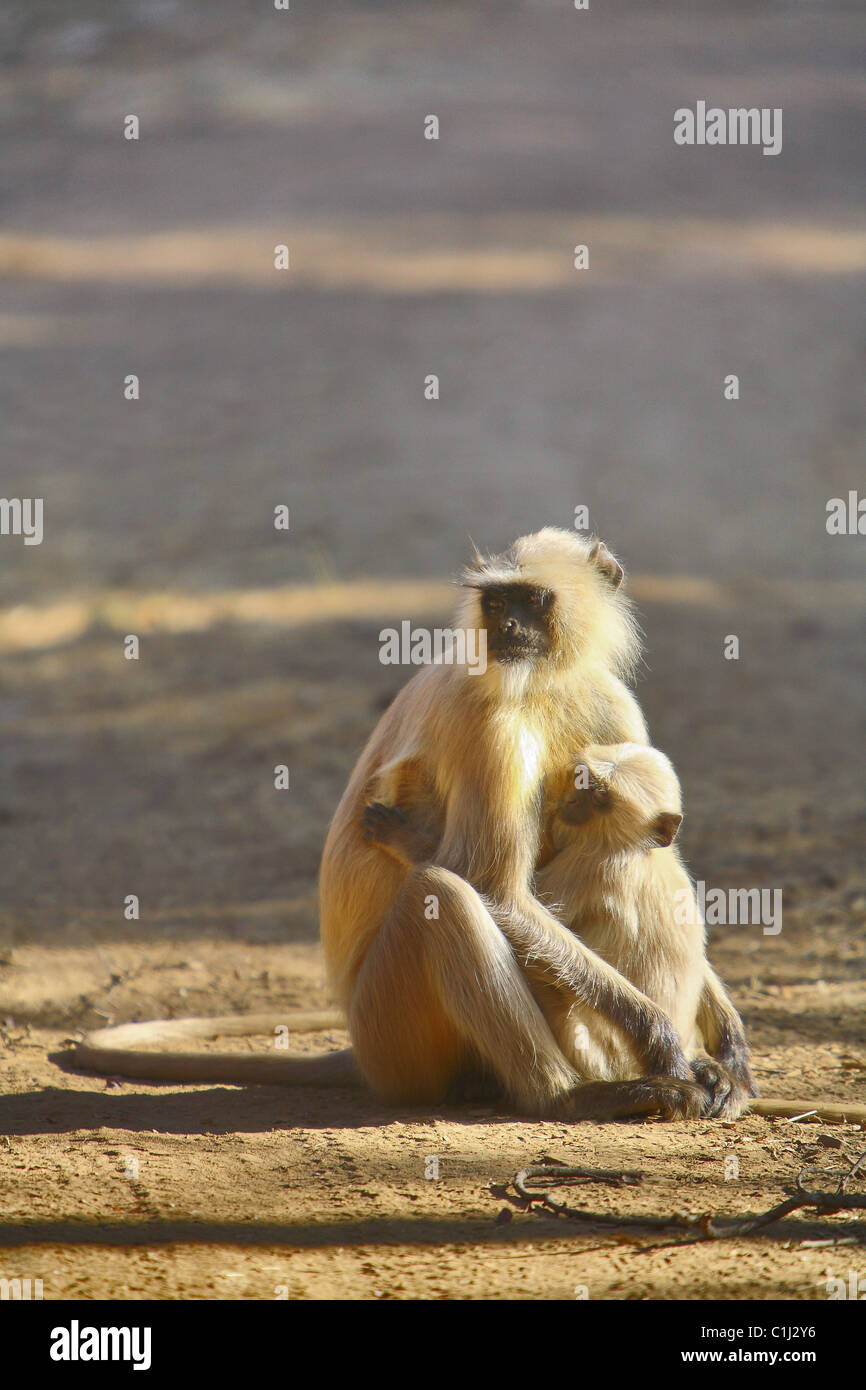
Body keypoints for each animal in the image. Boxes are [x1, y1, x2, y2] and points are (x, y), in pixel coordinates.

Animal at [70, 530, 866, 1127]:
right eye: (496, 601)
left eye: (533, 600)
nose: (508, 628)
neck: (542, 684)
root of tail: (357, 1042)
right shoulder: (493, 725)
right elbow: (495, 890)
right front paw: (667, 1046)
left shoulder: (610, 703)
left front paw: (728, 1053)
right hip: (392, 1032)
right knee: (444, 895)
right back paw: (571, 1097)